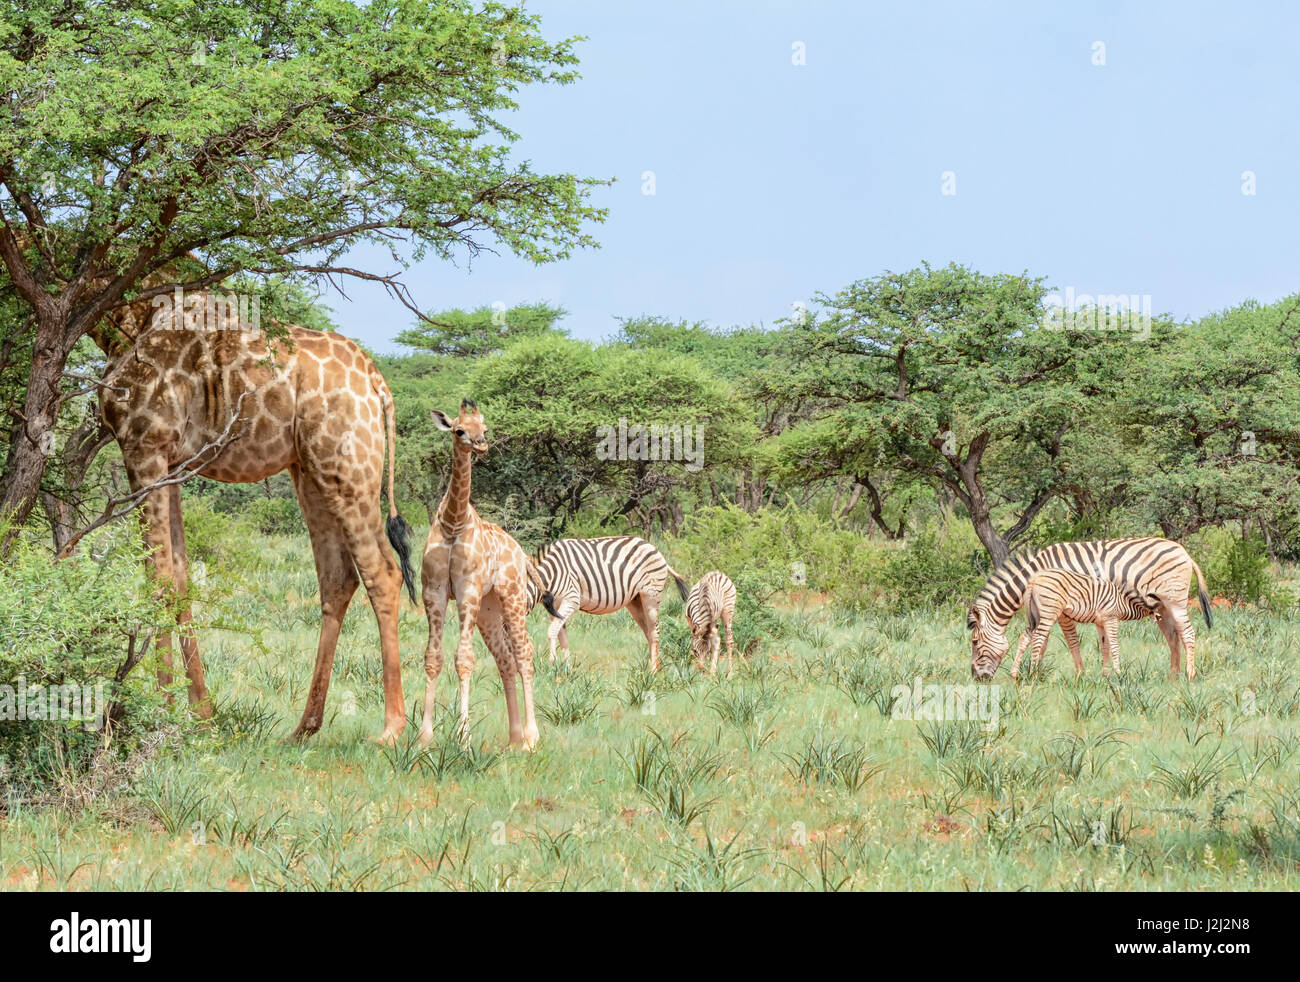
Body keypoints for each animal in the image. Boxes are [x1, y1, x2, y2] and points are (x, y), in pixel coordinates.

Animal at [96, 294, 417, 742]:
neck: (130, 318)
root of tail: (377, 383)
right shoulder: (173, 463)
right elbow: (180, 577)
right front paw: (201, 716)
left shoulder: (145, 447)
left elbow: (156, 580)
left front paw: (160, 715)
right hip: (310, 471)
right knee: (338, 577)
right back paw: (304, 727)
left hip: (348, 468)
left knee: (382, 571)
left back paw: (391, 727)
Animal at [419, 400, 541, 750]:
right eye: (459, 430)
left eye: (484, 429)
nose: (481, 445)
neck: (453, 522)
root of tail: (521, 554)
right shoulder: (433, 591)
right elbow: (433, 657)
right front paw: (423, 737)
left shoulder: (467, 590)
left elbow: (464, 658)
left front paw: (463, 738)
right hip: (489, 609)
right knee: (505, 658)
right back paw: (514, 738)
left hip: (512, 596)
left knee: (524, 652)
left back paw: (532, 737)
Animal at [529, 536, 689, 671]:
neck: (551, 574)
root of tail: (654, 548)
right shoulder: (554, 606)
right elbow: (562, 636)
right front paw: (566, 669)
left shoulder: (572, 599)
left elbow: (552, 631)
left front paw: (552, 664)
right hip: (635, 601)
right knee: (649, 632)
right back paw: (655, 667)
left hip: (651, 595)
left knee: (655, 632)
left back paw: (653, 671)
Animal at [1011, 568, 1154, 680]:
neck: (1122, 601)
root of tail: (1034, 579)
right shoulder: (1110, 618)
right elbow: (1114, 646)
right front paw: (1118, 674)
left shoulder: (1100, 623)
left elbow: (1104, 647)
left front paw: (1106, 676)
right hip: (1049, 612)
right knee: (1038, 638)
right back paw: (1033, 675)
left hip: (1035, 616)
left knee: (1025, 637)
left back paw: (1014, 675)